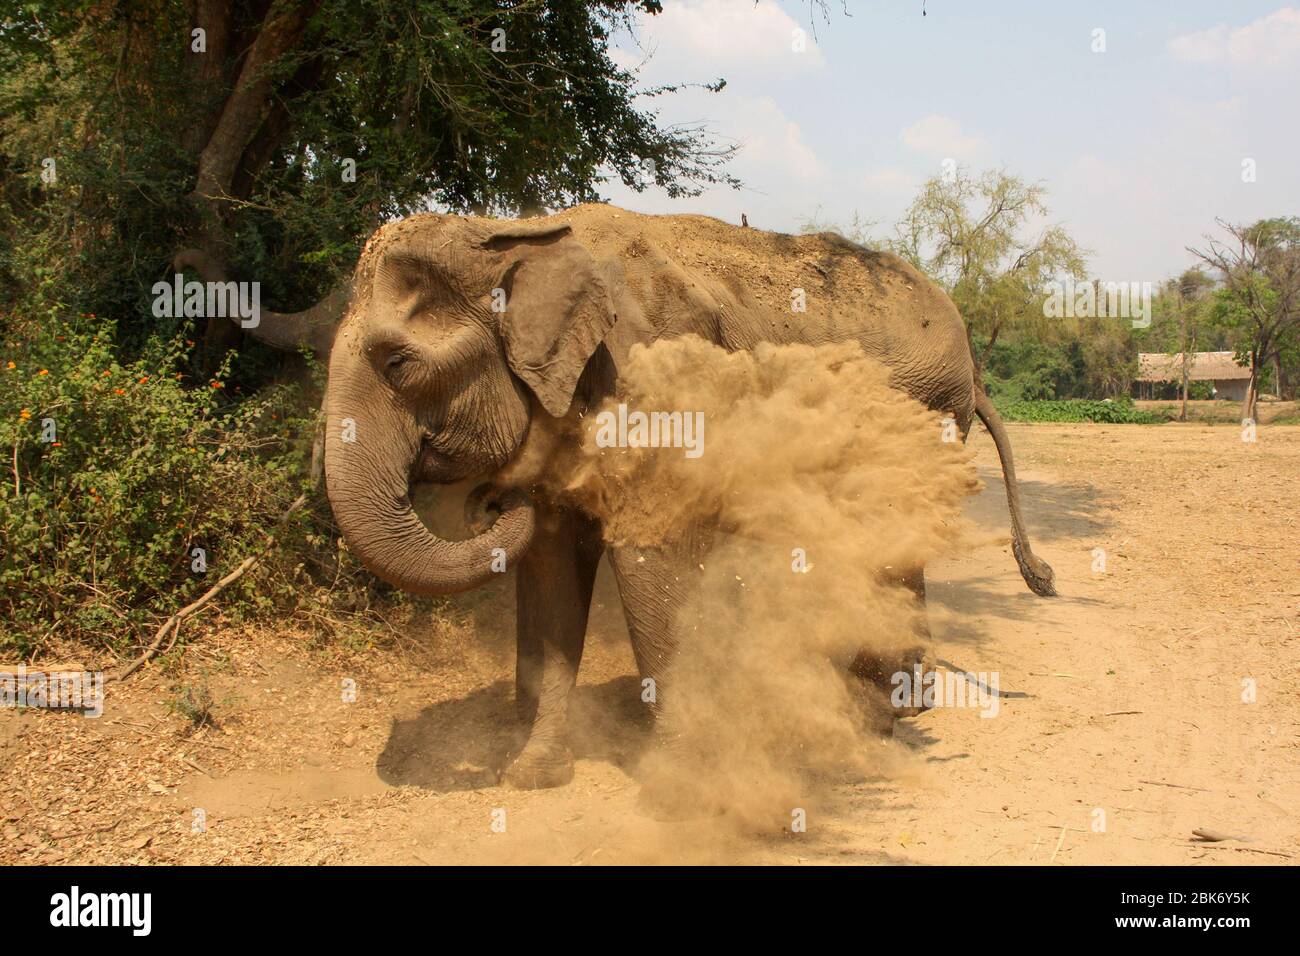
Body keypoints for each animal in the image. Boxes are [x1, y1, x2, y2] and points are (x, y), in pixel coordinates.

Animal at [318, 204, 1056, 789]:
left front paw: (682, 777)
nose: (492, 503)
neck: (518, 232)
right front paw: (533, 772)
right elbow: (553, 566)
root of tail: (969, 355)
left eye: (399, 365)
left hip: (924, 413)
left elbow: (656, 554)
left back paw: (881, 717)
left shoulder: (654, 382)